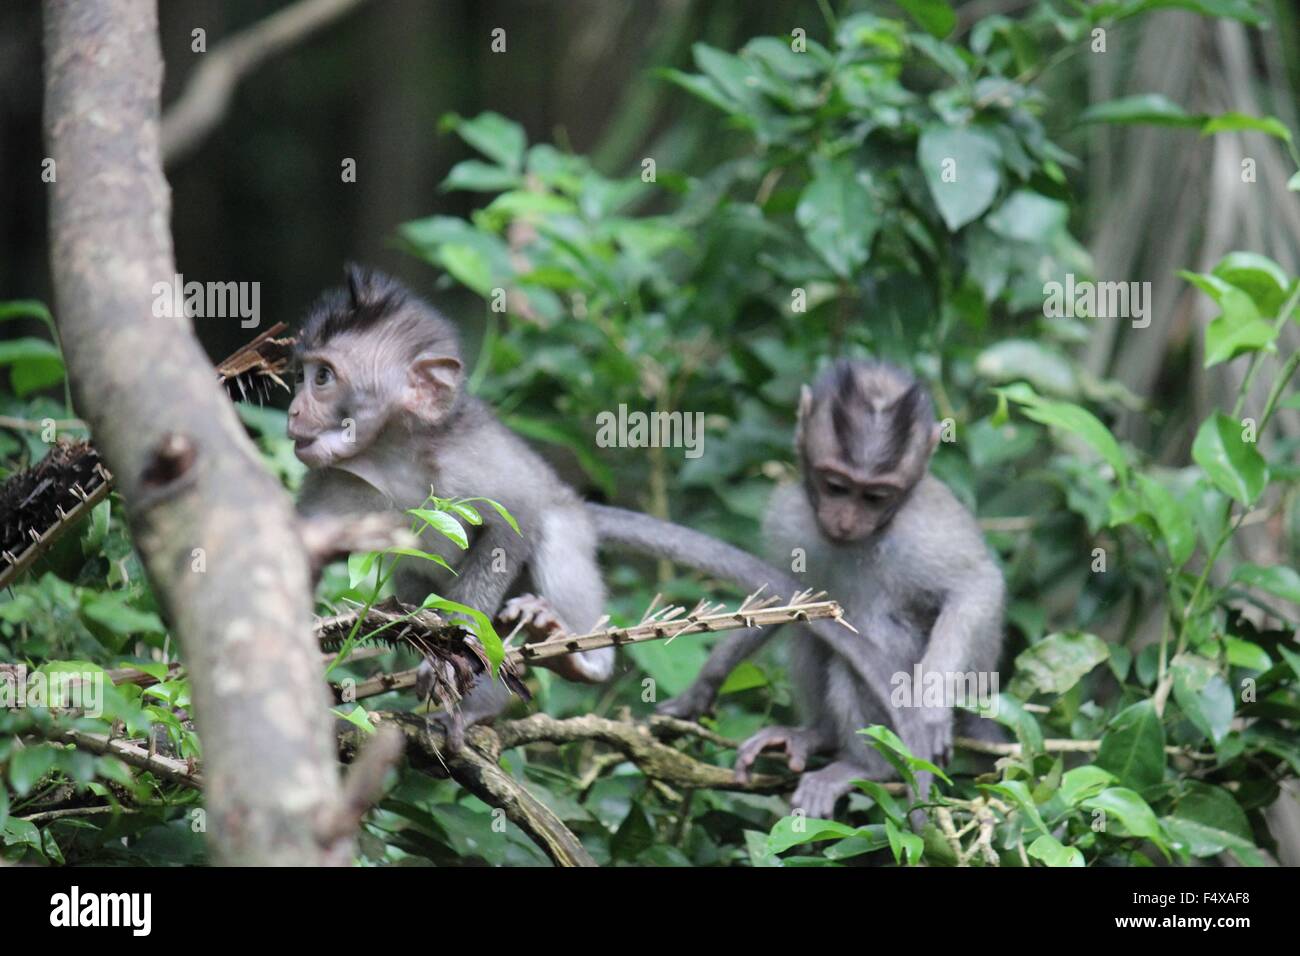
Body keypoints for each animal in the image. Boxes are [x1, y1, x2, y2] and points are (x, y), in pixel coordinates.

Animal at [648, 359, 1006, 820]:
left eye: (875, 496)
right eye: (835, 486)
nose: (845, 521)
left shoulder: (922, 529)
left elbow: (976, 587)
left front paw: (929, 707)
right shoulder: (789, 516)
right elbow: (779, 596)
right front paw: (702, 686)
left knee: (872, 634)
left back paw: (864, 766)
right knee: (813, 631)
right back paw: (817, 734)